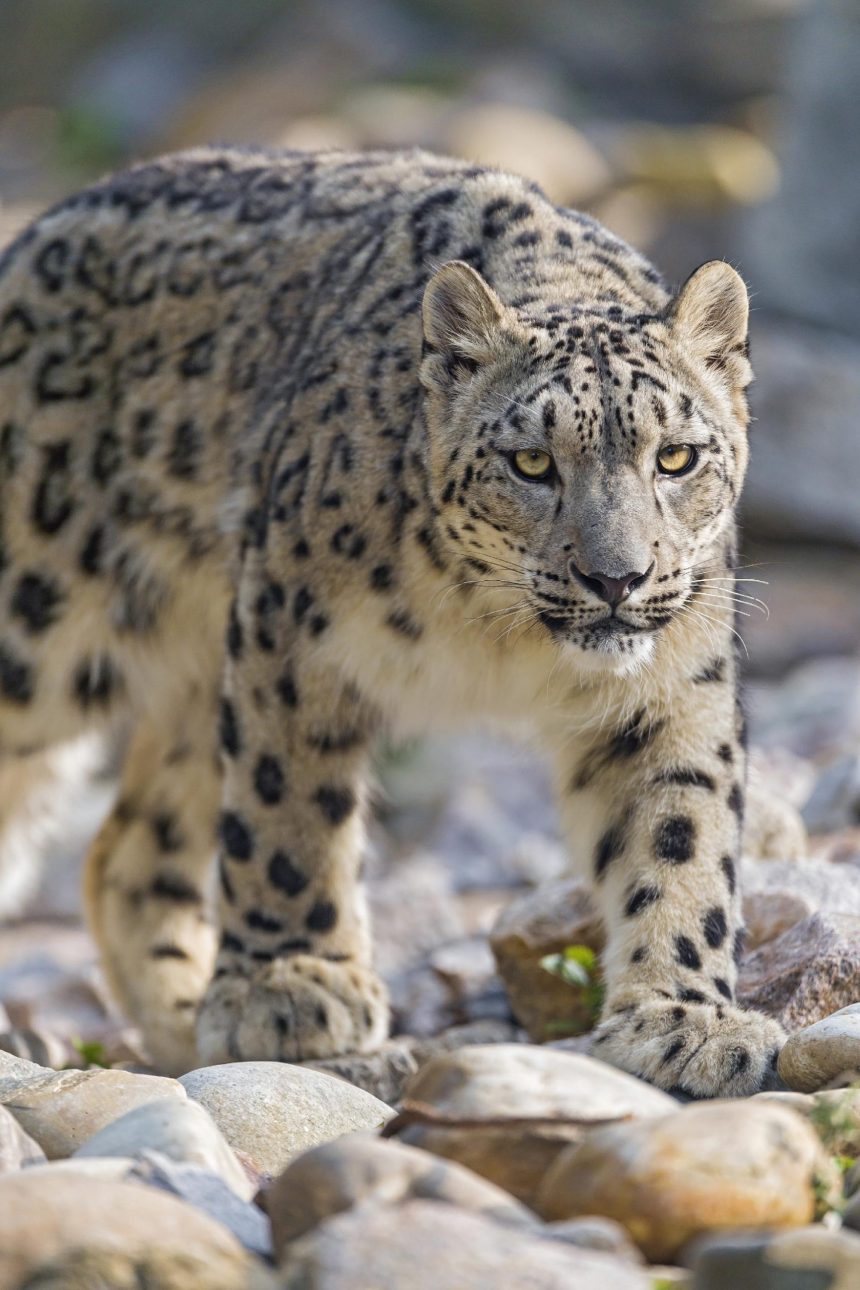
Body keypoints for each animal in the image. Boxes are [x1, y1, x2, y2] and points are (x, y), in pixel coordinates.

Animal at [0, 144, 806, 1096]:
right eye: (532, 463)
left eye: (676, 457)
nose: (617, 578)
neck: (498, 637)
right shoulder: (296, 641)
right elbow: (288, 812)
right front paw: (292, 983)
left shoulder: (671, 685)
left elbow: (679, 833)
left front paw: (686, 1022)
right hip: (45, 634)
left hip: (203, 674)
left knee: (130, 852)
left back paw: (181, 1024)